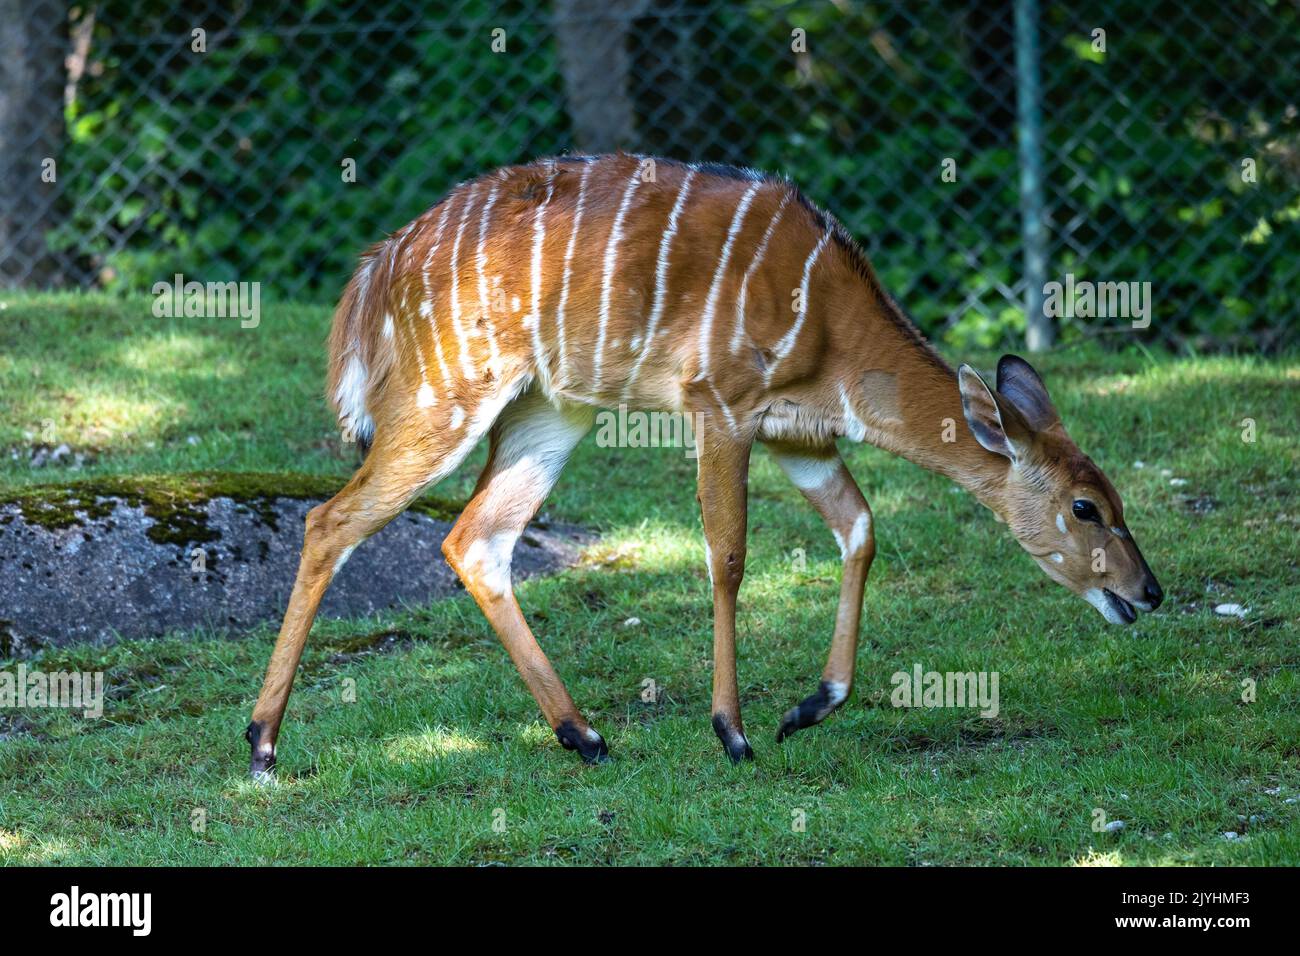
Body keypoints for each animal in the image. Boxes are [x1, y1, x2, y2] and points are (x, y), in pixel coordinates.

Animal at [246, 153, 1163, 774]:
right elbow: (728, 556)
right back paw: (261, 744)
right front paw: (735, 731)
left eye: (1115, 496)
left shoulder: (800, 436)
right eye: (1084, 506)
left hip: (550, 413)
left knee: (477, 539)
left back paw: (586, 735)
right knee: (332, 519)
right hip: (447, 401)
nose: (1147, 593)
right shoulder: (719, 405)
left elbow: (861, 529)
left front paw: (809, 707)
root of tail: (379, 268)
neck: (832, 325)